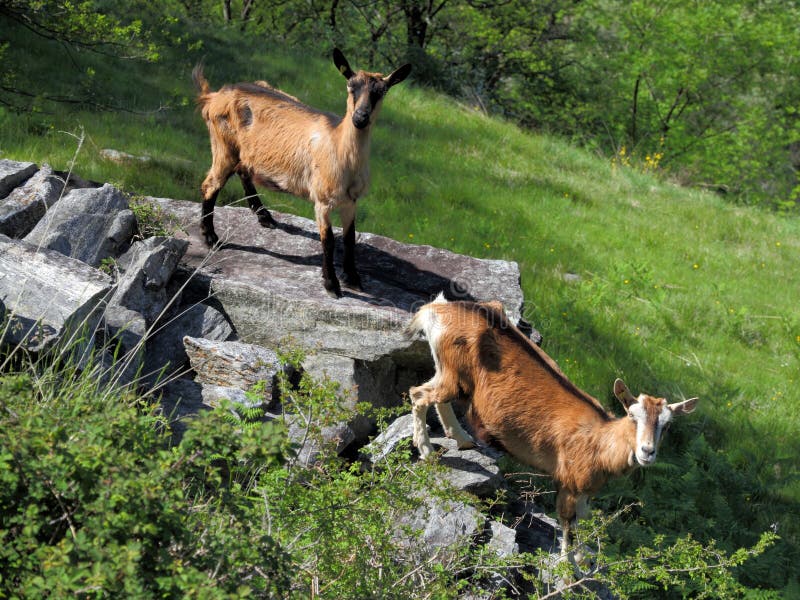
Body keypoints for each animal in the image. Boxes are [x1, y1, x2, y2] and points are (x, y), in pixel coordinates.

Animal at [193, 49, 412, 298]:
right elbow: (328, 241)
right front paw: (331, 285)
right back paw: (210, 237)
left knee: (243, 171)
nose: (360, 117)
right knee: (210, 185)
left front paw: (353, 278)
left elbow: (350, 238)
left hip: (243, 152)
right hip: (223, 146)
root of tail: (213, 97)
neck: (338, 147)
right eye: (350, 86)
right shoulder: (322, 200)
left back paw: (264, 217)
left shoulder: (351, 201)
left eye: (381, 91)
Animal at [406, 295, 698, 565]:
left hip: (451, 374)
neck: (600, 440)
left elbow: (583, 520)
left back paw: (462, 438)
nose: (647, 452)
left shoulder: (586, 490)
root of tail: (438, 309)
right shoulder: (568, 482)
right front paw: (568, 569)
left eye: (667, 425)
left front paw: (583, 558)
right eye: (633, 416)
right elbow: (568, 525)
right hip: (452, 373)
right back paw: (427, 451)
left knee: (437, 397)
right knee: (418, 394)